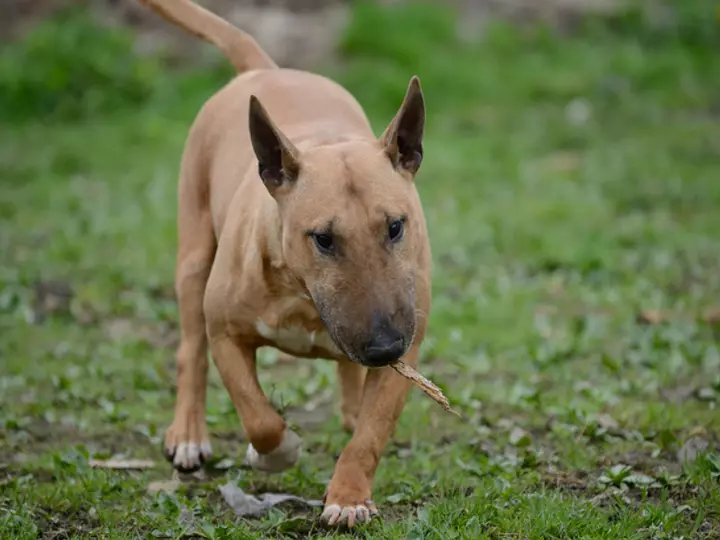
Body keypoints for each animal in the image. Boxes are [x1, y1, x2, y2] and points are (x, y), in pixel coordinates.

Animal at [141, 0, 434, 528]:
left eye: (396, 226)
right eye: (323, 238)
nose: (384, 347)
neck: (303, 297)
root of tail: (266, 68)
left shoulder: (408, 347)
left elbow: (370, 434)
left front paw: (349, 496)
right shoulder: (227, 334)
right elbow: (257, 416)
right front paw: (274, 453)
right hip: (193, 255)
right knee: (190, 350)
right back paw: (188, 435)